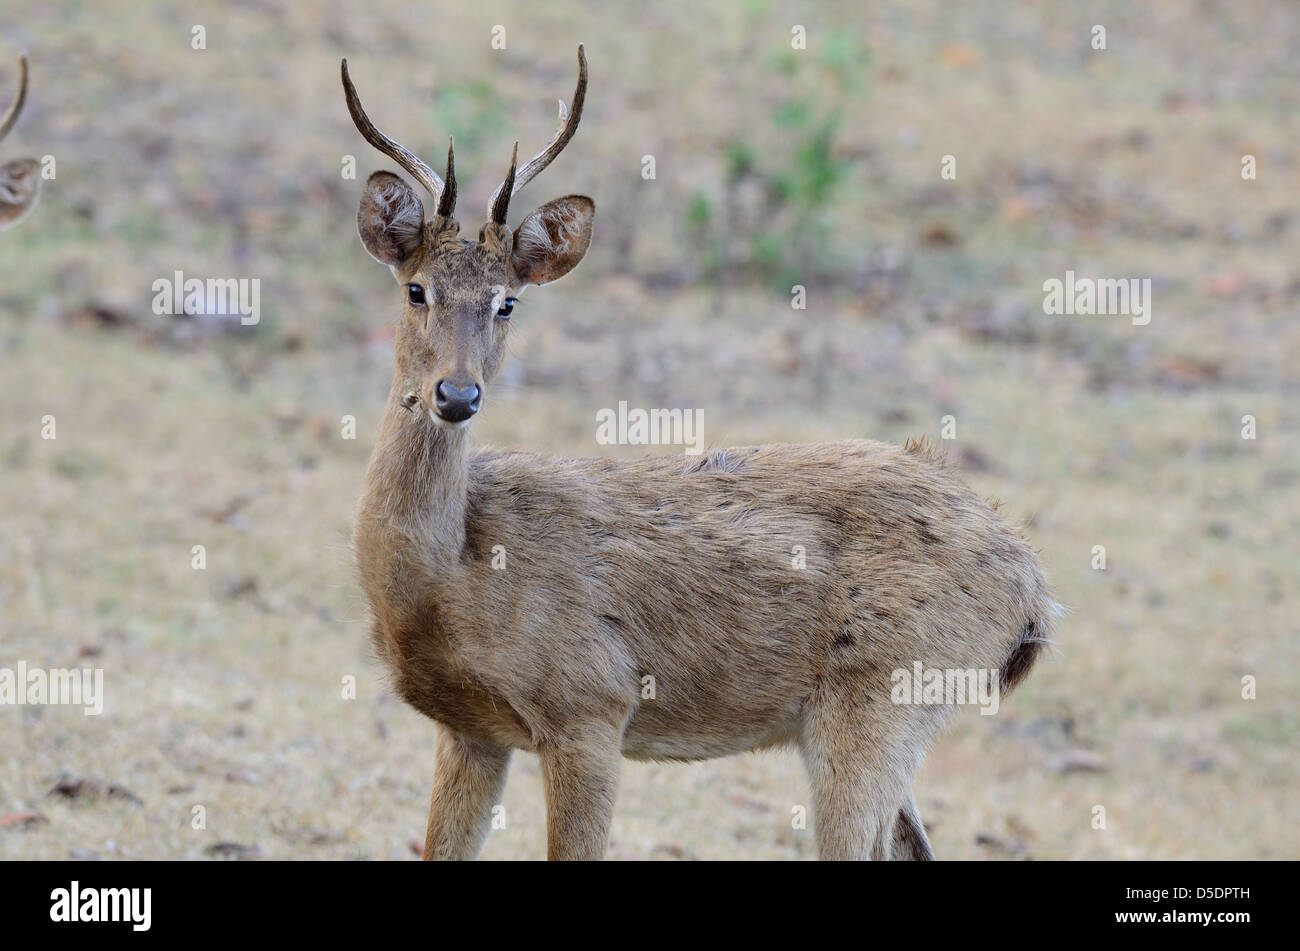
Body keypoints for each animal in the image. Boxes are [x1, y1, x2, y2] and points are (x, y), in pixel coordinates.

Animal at [341, 45, 1058, 861]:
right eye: (416, 290)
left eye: (508, 302)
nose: (456, 394)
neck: (451, 575)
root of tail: (1032, 585)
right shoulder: (470, 729)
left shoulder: (591, 704)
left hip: (881, 698)